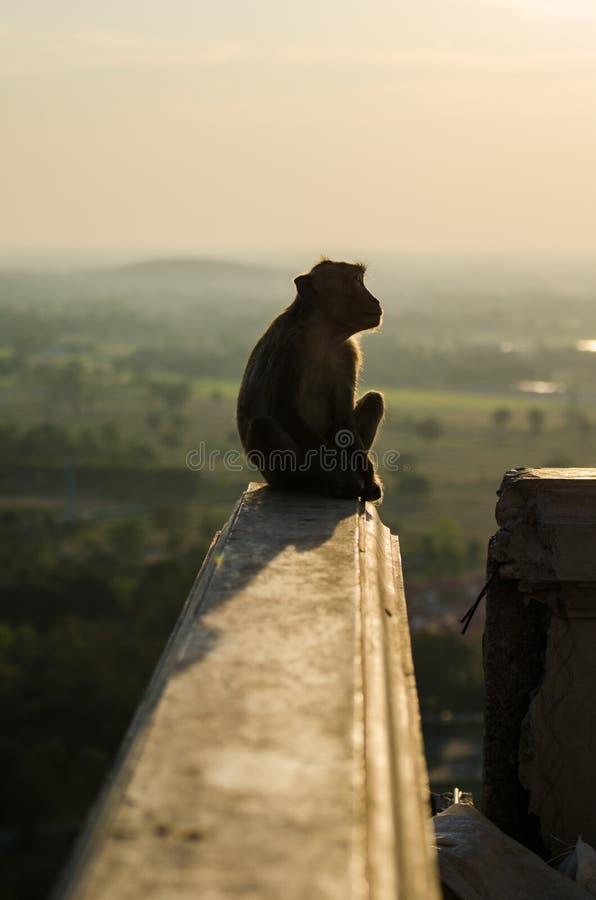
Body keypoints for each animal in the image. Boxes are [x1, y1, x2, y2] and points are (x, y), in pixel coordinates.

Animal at [237, 259, 385, 501]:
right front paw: (350, 480)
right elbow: (286, 412)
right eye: (356, 280)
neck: (323, 335)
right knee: (262, 425)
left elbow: (344, 422)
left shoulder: (348, 354)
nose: (375, 300)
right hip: (275, 472)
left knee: (374, 400)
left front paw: (369, 481)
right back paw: (319, 483)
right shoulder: (291, 346)